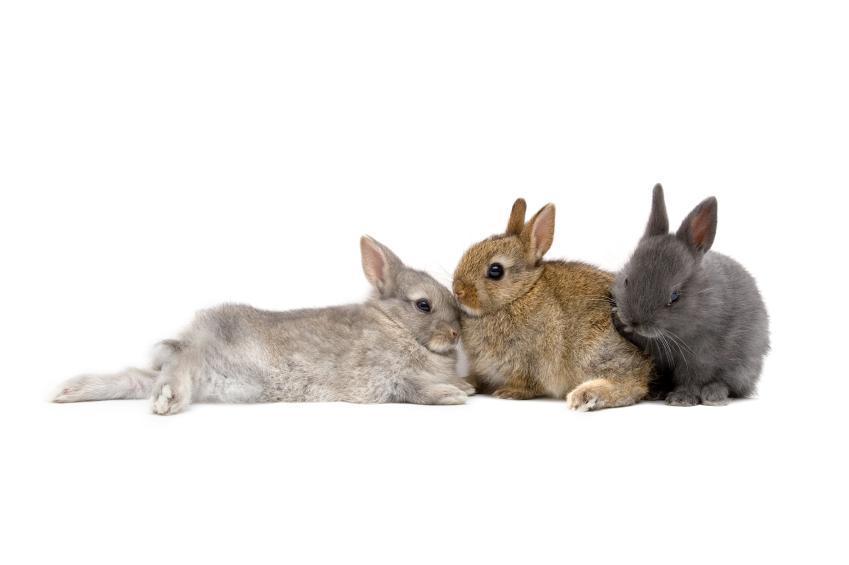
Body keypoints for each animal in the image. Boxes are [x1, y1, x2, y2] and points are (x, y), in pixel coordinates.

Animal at [53, 236, 473, 415]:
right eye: (423, 305)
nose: (456, 333)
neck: (396, 326)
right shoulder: (383, 376)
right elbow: (412, 389)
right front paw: (452, 395)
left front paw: (464, 385)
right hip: (205, 354)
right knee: (177, 364)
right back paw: (168, 398)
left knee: (139, 378)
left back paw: (70, 390)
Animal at [452, 198, 654, 411]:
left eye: (495, 271)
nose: (457, 290)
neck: (521, 293)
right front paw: (464, 382)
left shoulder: (531, 362)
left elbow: (528, 384)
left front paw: (509, 392)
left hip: (595, 349)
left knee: (633, 384)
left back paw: (585, 395)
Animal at [611, 184, 770, 406]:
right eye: (626, 280)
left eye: (674, 296)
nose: (635, 322)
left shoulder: (701, 356)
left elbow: (693, 378)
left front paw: (682, 398)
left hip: (744, 367)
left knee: (730, 385)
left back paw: (714, 395)